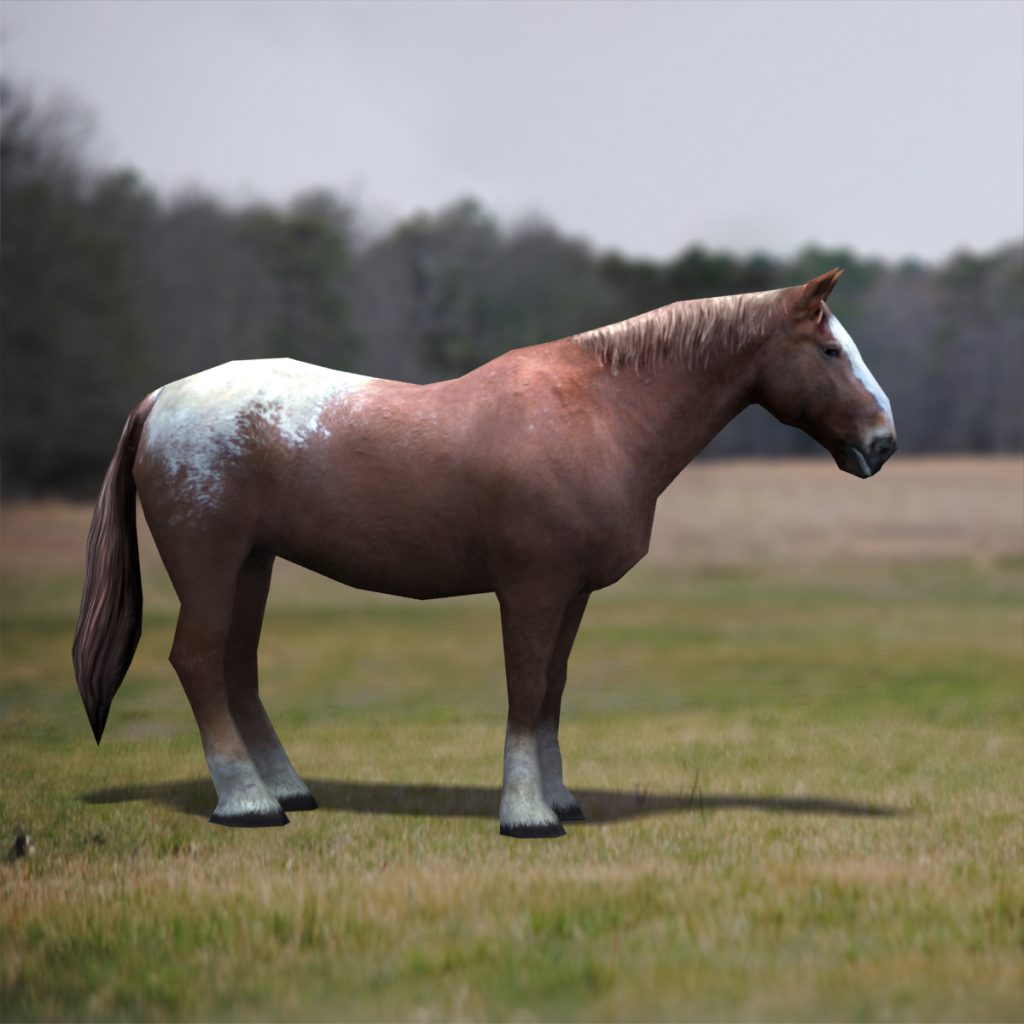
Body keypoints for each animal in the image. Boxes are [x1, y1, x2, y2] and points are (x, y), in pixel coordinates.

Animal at [73, 268, 896, 839]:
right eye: (830, 350)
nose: (882, 445)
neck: (598, 414)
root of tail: (163, 399)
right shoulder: (532, 587)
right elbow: (525, 689)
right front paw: (529, 817)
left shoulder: (571, 594)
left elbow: (553, 690)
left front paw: (561, 798)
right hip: (211, 564)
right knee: (199, 661)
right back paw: (248, 805)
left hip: (253, 563)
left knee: (237, 667)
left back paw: (288, 792)